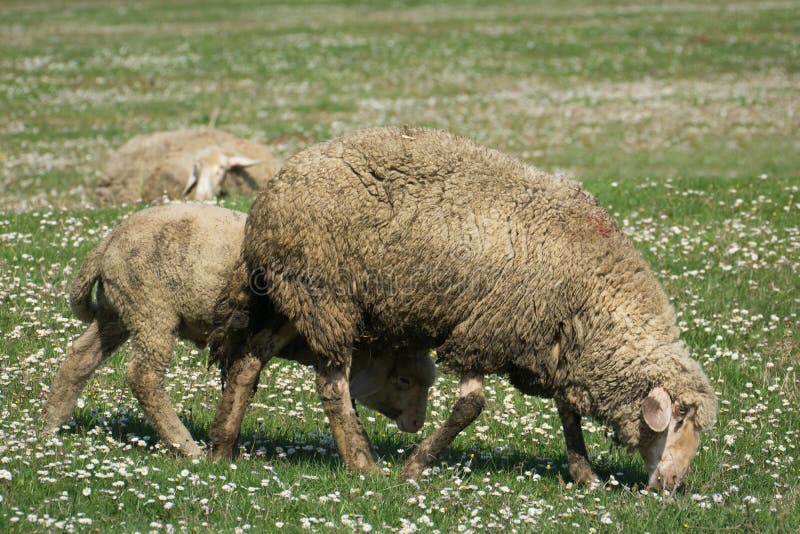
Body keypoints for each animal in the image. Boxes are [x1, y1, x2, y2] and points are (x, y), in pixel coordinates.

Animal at [43, 204, 436, 458]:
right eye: (403, 380)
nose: (418, 423)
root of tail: (108, 242)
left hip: (118, 309)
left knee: (80, 358)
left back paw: (49, 428)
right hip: (152, 310)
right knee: (143, 376)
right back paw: (186, 446)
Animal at [209, 126, 717, 489]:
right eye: (677, 420)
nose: (672, 485)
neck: (595, 293)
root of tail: (272, 192)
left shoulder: (551, 343)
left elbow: (567, 412)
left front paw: (584, 475)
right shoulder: (487, 331)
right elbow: (472, 406)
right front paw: (415, 467)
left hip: (290, 299)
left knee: (249, 359)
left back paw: (222, 447)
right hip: (324, 295)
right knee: (331, 385)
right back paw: (363, 464)